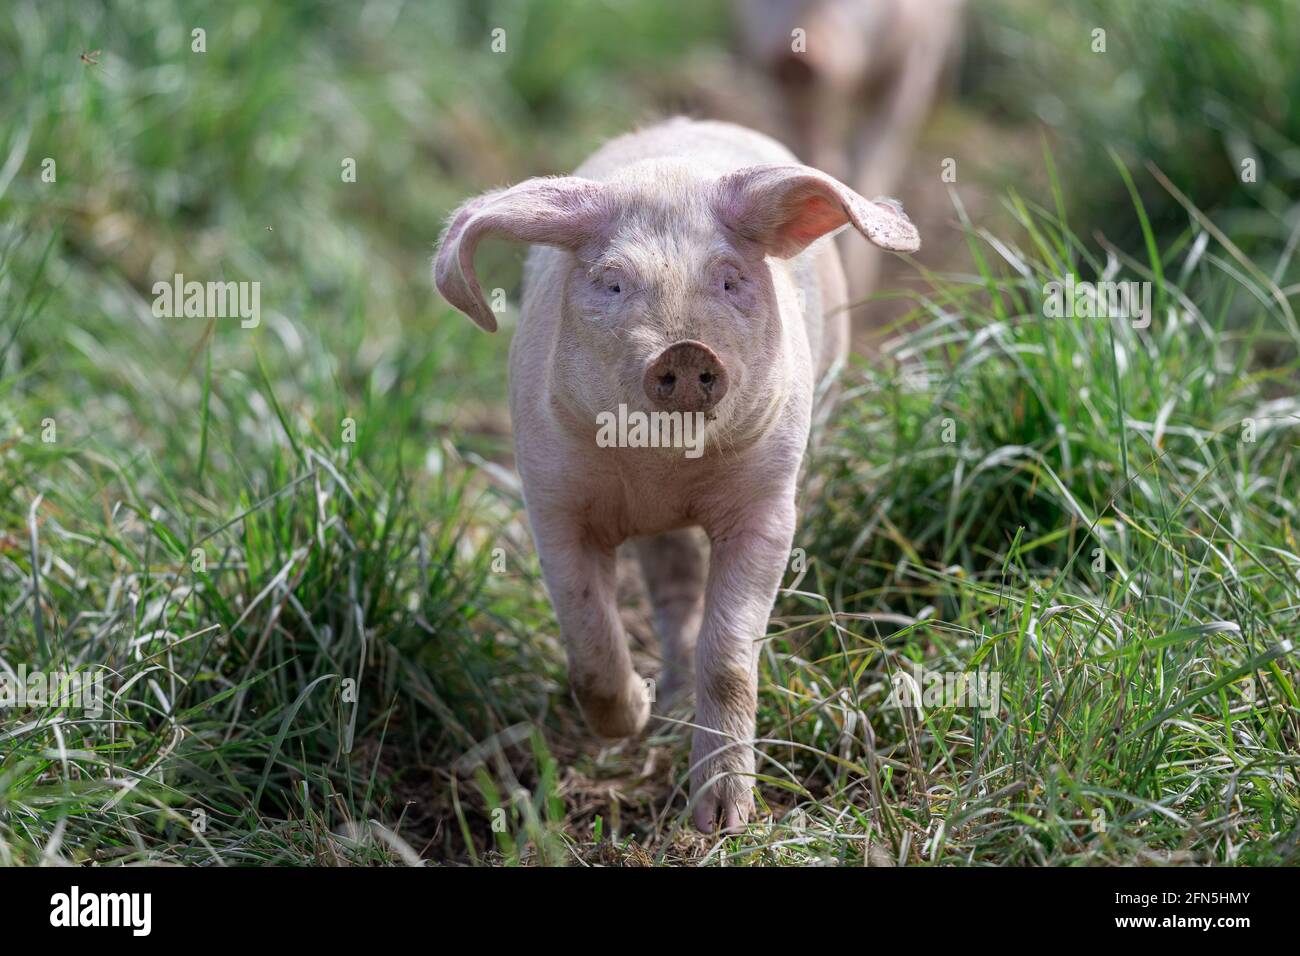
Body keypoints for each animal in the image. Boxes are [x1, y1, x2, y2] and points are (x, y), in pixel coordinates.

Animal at [434, 117, 918, 832]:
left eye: (730, 279)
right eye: (612, 282)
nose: (686, 350)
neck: (661, 470)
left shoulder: (768, 505)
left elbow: (731, 657)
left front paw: (723, 822)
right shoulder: (551, 499)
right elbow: (587, 639)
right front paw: (628, 719)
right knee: (671, 587)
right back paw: (660, 709)